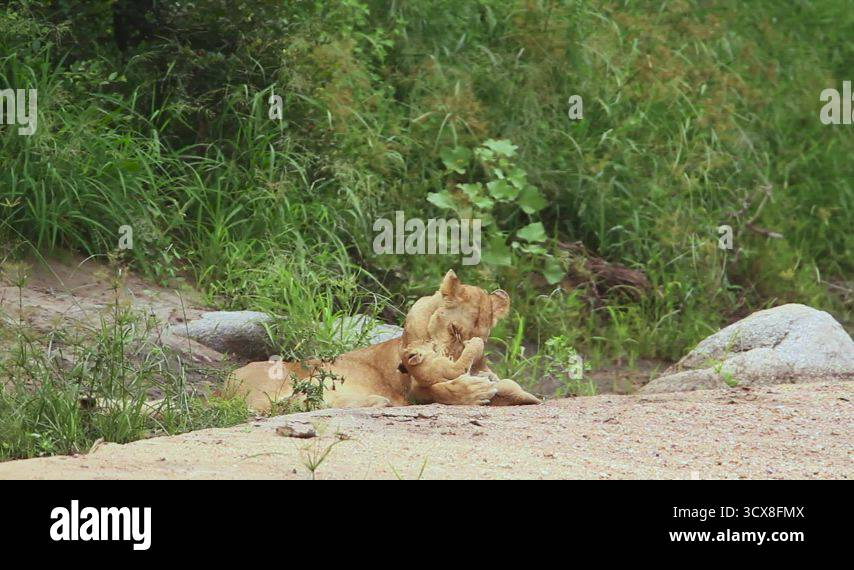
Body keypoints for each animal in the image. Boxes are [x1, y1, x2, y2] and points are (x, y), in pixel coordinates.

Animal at [225, 270, 539, 411]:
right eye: (454, 329)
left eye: (482, 340)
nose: (467, 363)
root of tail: (223, 387)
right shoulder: (415, 390)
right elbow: (443, 391)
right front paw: (475, 389)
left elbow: (504, 382)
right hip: (272, 386)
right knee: (279, 407)